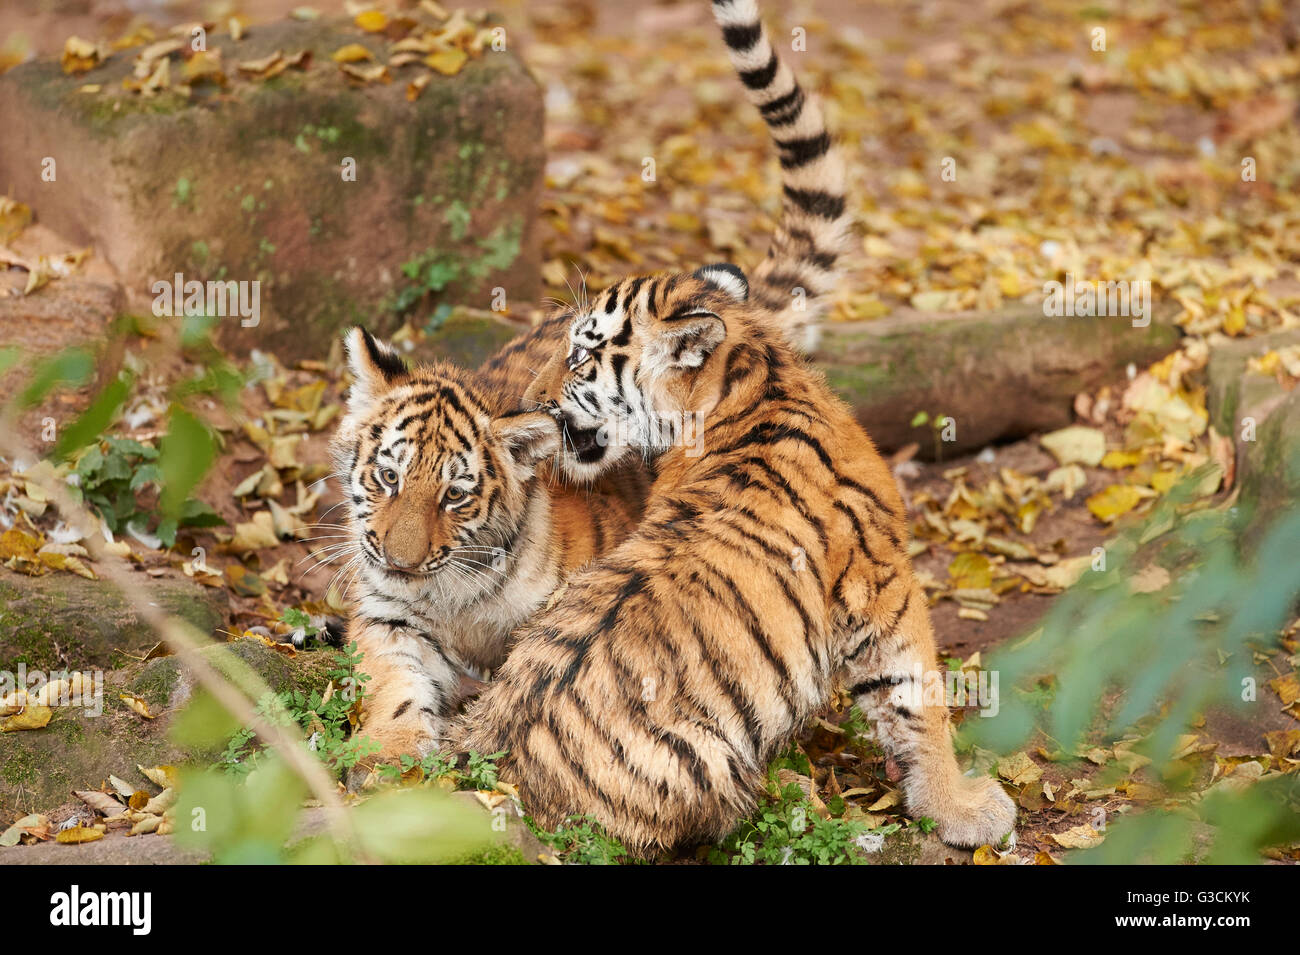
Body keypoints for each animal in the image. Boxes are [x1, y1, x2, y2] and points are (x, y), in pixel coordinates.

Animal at [328, 0, 843, 769]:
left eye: (455, 495)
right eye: (387, 477)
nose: (397, 559)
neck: (454, 592)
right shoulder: (392, 615)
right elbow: (392, 680)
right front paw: (388, 757)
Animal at [450, 0, 1018, 853]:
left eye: (580, 357)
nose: (532, 395)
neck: (752, 374)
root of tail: (512, 777)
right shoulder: (885, 588)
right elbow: (921, 703)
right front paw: (964, 808)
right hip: (711, 756)